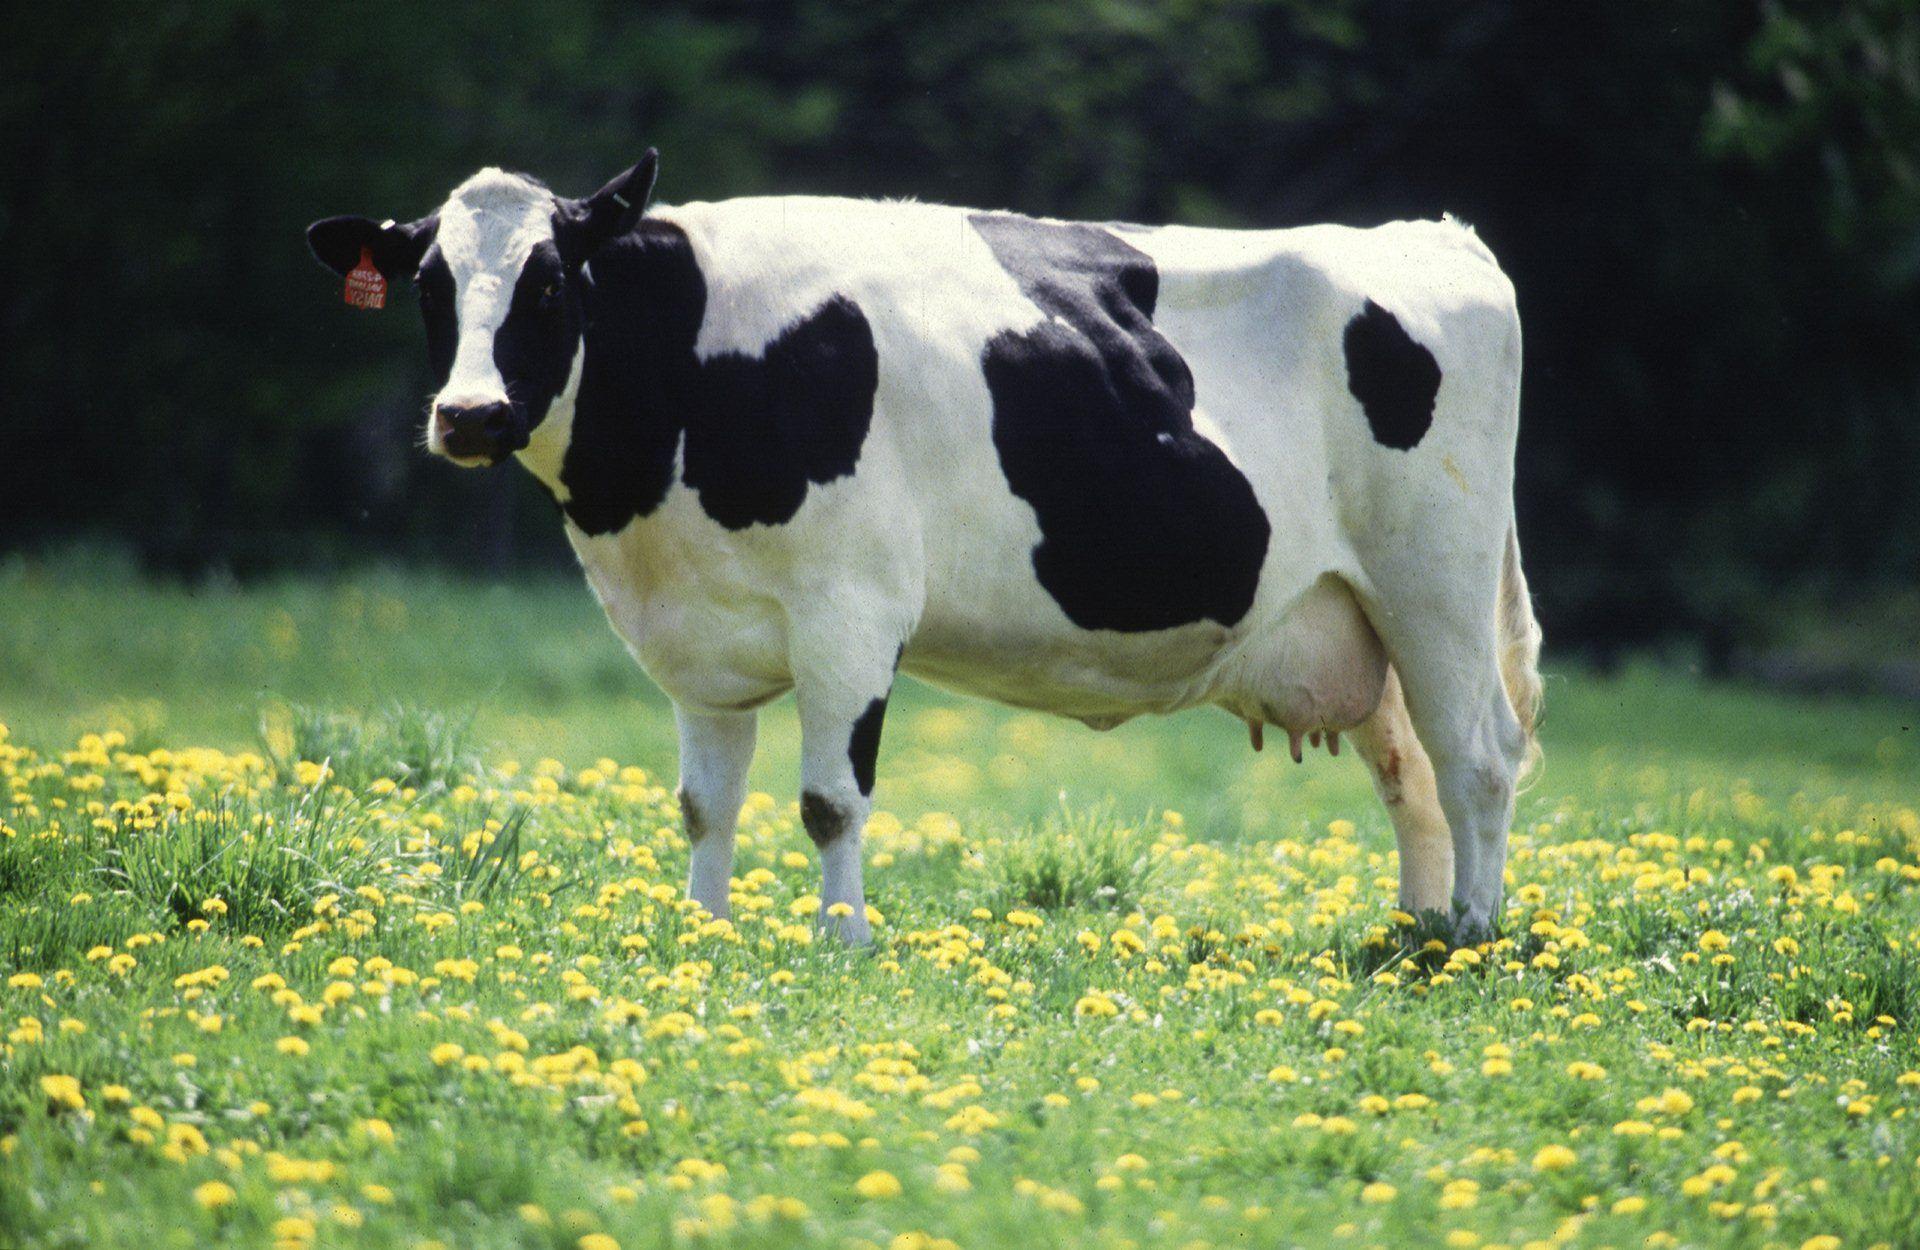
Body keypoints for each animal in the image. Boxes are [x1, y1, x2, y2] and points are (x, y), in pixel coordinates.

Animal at [307, 151, 1542, 944]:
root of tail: (1435, 237)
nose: (469, 415)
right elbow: (706, 804)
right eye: (429, 285)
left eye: (552, 278)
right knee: (1411, 771)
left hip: (1435, 579)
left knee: (1478, 754)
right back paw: (1414, 928)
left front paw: (841, 942)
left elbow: (828, 800)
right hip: (1354, 610)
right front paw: (701, 933)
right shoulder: (696, 639)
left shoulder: (850, 612)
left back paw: (1471, 936)